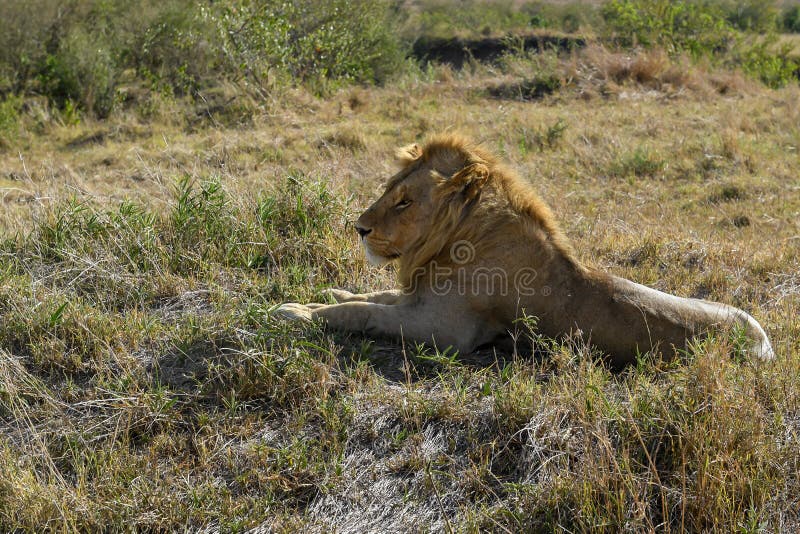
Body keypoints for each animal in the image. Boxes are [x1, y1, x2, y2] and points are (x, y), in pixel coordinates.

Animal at [277, 134, 774, 367]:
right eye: (388, 190)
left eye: (404, 202)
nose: (359, 228)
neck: (452, 242)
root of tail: (766, 344)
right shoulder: (420, 299)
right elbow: (370, 298)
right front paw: (329, 295)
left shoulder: (445, 330)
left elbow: (364, 313)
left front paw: (295, 312)